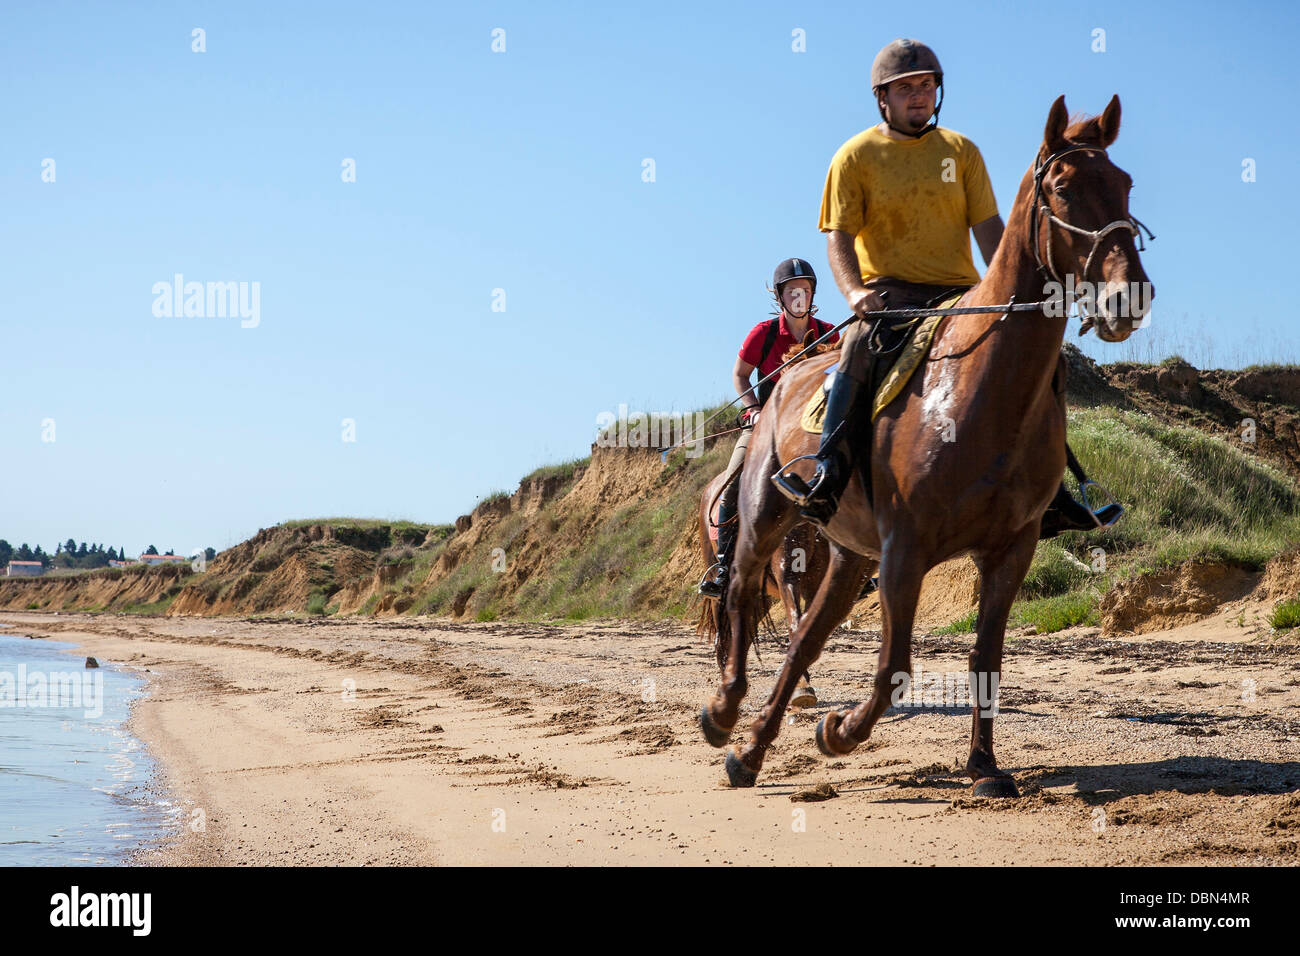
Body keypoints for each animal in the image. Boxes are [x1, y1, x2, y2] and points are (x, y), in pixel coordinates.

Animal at [699, 95, 1152, 794]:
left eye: (1125, 184)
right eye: (1063, 188)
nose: (1128, 296)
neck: (983, 389)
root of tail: (786, 379)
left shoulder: (1010, 549)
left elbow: (985, 659)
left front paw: (984, 768)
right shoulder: (904, 551)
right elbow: (893, 666)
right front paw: (839, 733)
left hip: (848, 552)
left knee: (804, 637)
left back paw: (751, 750)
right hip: (765, 520)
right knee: (743, 595)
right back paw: (724, 714)